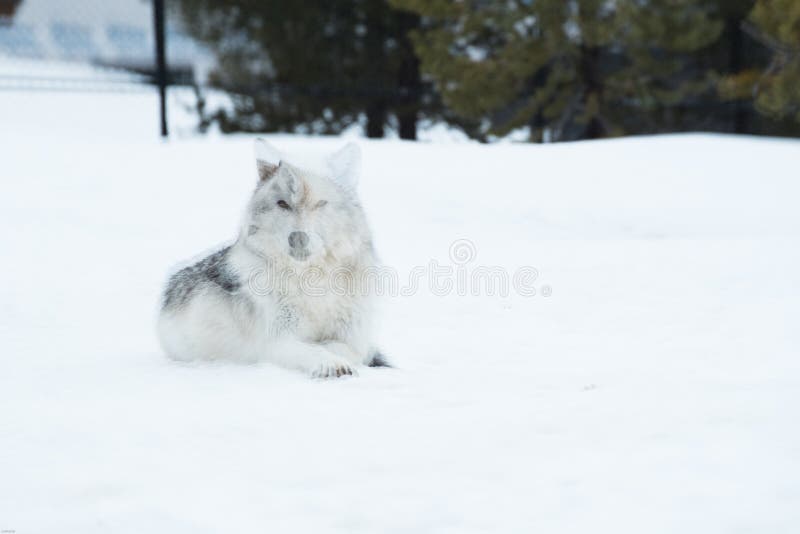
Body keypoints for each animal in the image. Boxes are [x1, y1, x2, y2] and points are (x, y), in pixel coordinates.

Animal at [157, 139, 387, 377]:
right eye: (283, 204)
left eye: (320, 204)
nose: (297, 238)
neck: (313, 283)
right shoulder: (276, 342)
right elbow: (312, 350)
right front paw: (330, 364)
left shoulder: (352, 339)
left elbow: (343, 348)